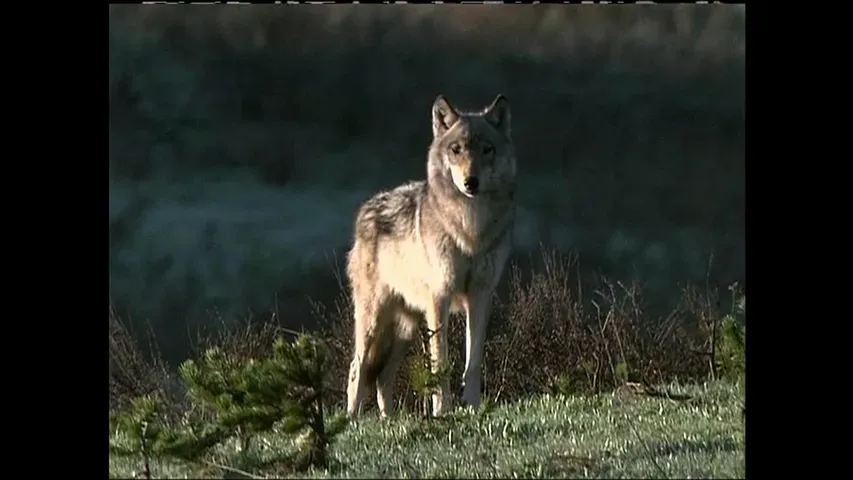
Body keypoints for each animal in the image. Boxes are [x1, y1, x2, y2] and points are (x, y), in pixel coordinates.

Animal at [345, 93, 517, 418]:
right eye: (456, 149)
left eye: (487, 149)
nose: (471, 181)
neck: (470, 228)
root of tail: (366, 209)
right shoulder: (440, 296)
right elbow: (441, 362)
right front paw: (442, 410)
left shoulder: (481, 294)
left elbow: (473, 360)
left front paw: (472, 406)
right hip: (374, 318)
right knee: (357, 367)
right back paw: (352, 418)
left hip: (407, 324)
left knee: (383, 376)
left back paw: (388, 420)